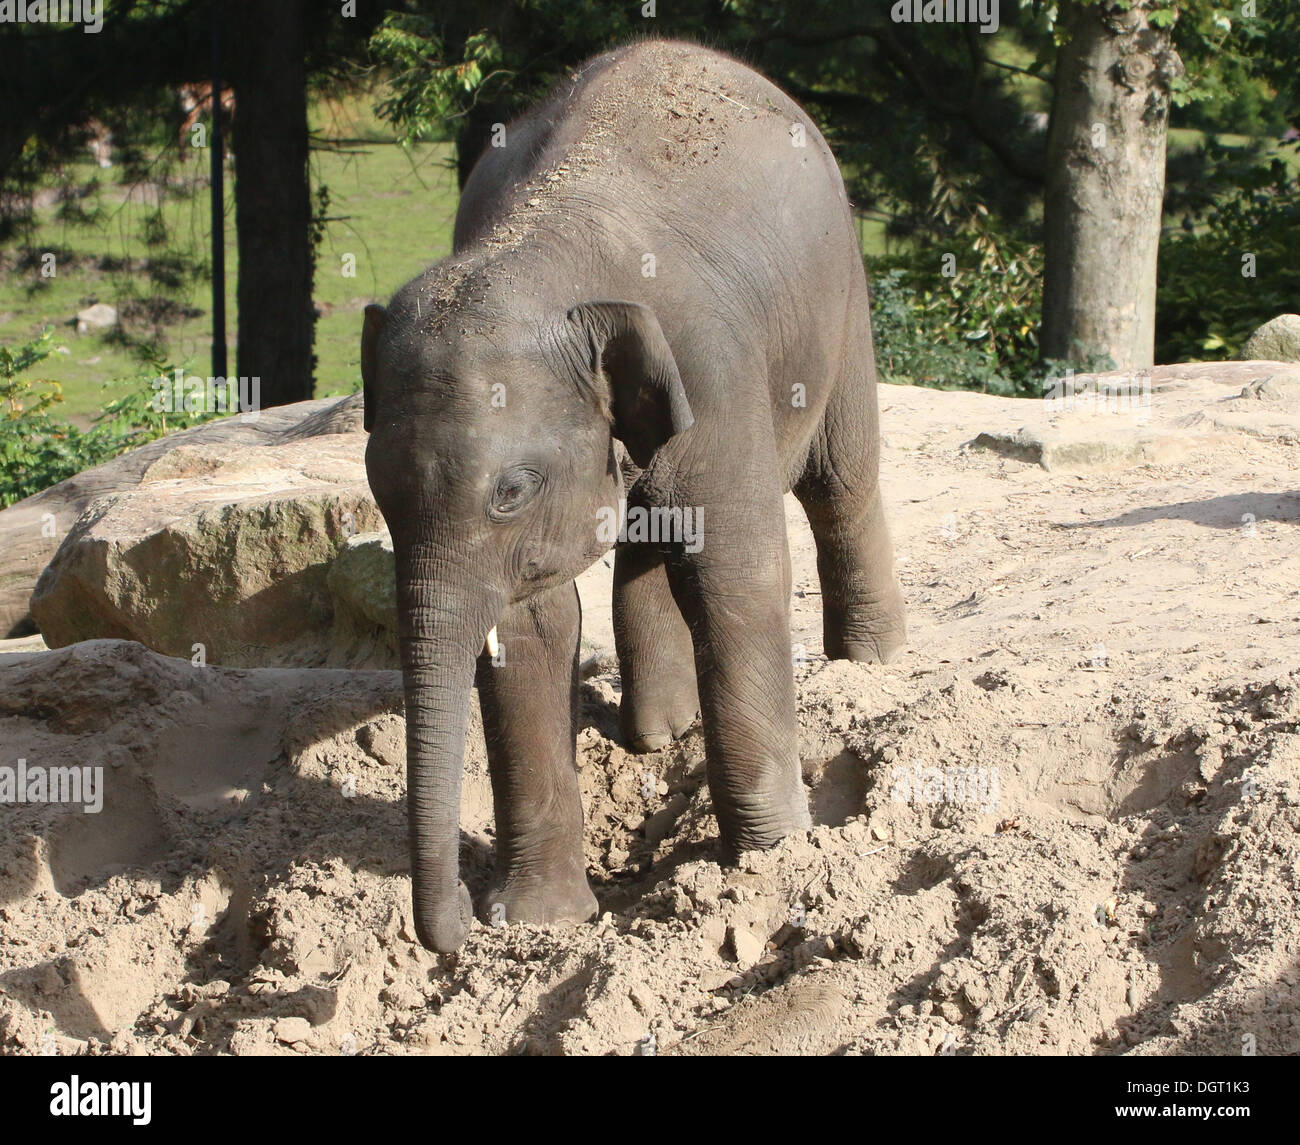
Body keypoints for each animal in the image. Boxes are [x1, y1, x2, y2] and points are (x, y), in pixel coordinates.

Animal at [361, 38, 906, 953]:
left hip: (843, 293)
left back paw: (870, 660)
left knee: (842, 477)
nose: (464, 918)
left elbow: (736, 576)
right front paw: (539, 917)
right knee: (652, 532)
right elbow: (532, 625)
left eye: (511, 489)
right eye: (379, 495)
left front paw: (767, 861)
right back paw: (660, 730)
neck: (538, 245)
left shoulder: (713, 372)